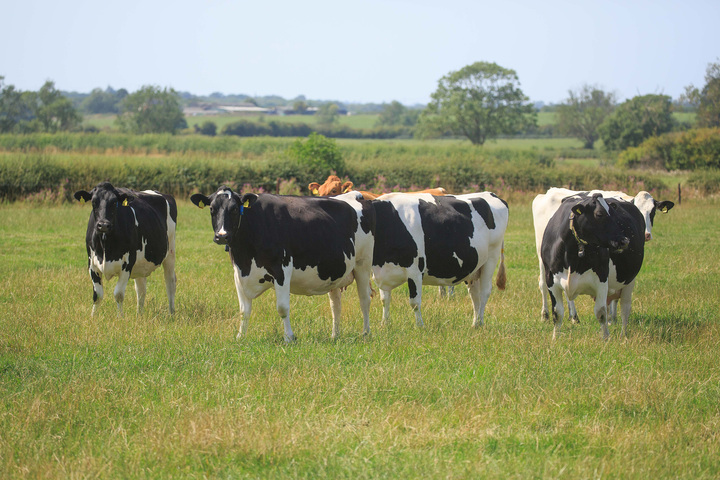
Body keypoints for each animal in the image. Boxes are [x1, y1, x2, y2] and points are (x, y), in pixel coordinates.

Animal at [74, 182, 177, 316]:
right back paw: (139, 315)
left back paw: (172, 313)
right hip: (140, 263)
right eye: (93, 202)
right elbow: (97, 295)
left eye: (114, 203)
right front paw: (92, 317)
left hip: (170, 252)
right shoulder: (92, 265)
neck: (105, 245)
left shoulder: (127, 265)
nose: (103, 225)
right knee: (141, 289)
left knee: (170, 282)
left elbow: (118, 294)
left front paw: (120, 318)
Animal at [190, 187, 375, 342]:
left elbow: (282, 308)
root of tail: (356, 195)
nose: (222, 236)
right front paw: (240, 337)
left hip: (363, 264)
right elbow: (244, 310)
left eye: (234, 209)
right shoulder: (239, 273)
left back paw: (366, 333)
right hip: (335, 272)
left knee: (364, 299)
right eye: (212, 209)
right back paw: (334, 336)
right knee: (335, 305)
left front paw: (289, 337)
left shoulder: (281, 270)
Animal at [371, 192, 508, 328]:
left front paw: (420, 326)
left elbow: (414, 302)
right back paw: (476, 323)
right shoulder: (381, 271)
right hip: (475, 267)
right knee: (475, 295)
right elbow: (385, 300)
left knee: (484, 292)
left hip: (491, 257)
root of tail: (490, 193)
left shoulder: (415, 269)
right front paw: (384, 324)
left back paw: (480, 322)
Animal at [532, 187, 674, 323]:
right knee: (543, 284)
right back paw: (549, 315)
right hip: (542, 258)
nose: (646, 235)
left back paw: (573, 316)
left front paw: (612, 318)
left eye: (653, 212)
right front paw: (610, 319)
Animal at [541, 193, 645, 340]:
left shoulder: (601, 279)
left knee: (625, 309)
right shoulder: (551, 279)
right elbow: (557, 313)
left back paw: (623, 336)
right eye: (599, 214)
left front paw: (606, 339)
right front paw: (555, 339)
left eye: (613, 213)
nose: (625, 241)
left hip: (629, 280)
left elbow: (601, 313)